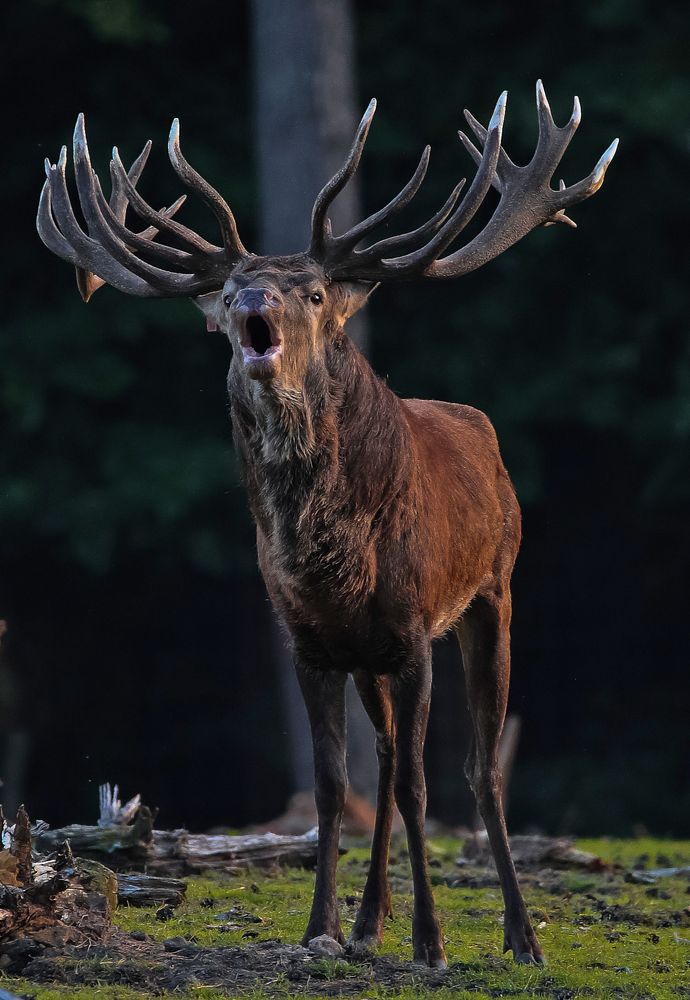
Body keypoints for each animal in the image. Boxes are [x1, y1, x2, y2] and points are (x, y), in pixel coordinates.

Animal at [37, 82, 617, 967]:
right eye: (231, 288)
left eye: (311, 291)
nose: (252, 305)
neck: (329, 560)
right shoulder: (311, 643)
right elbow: (331, 785)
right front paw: (324, 929)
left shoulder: (413, 632)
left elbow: (419, 783)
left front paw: (432, 943)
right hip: (371, 658)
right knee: (383, 754)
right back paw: (373, 922)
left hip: (494, 595)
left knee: (480, 769)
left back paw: (520, 938)